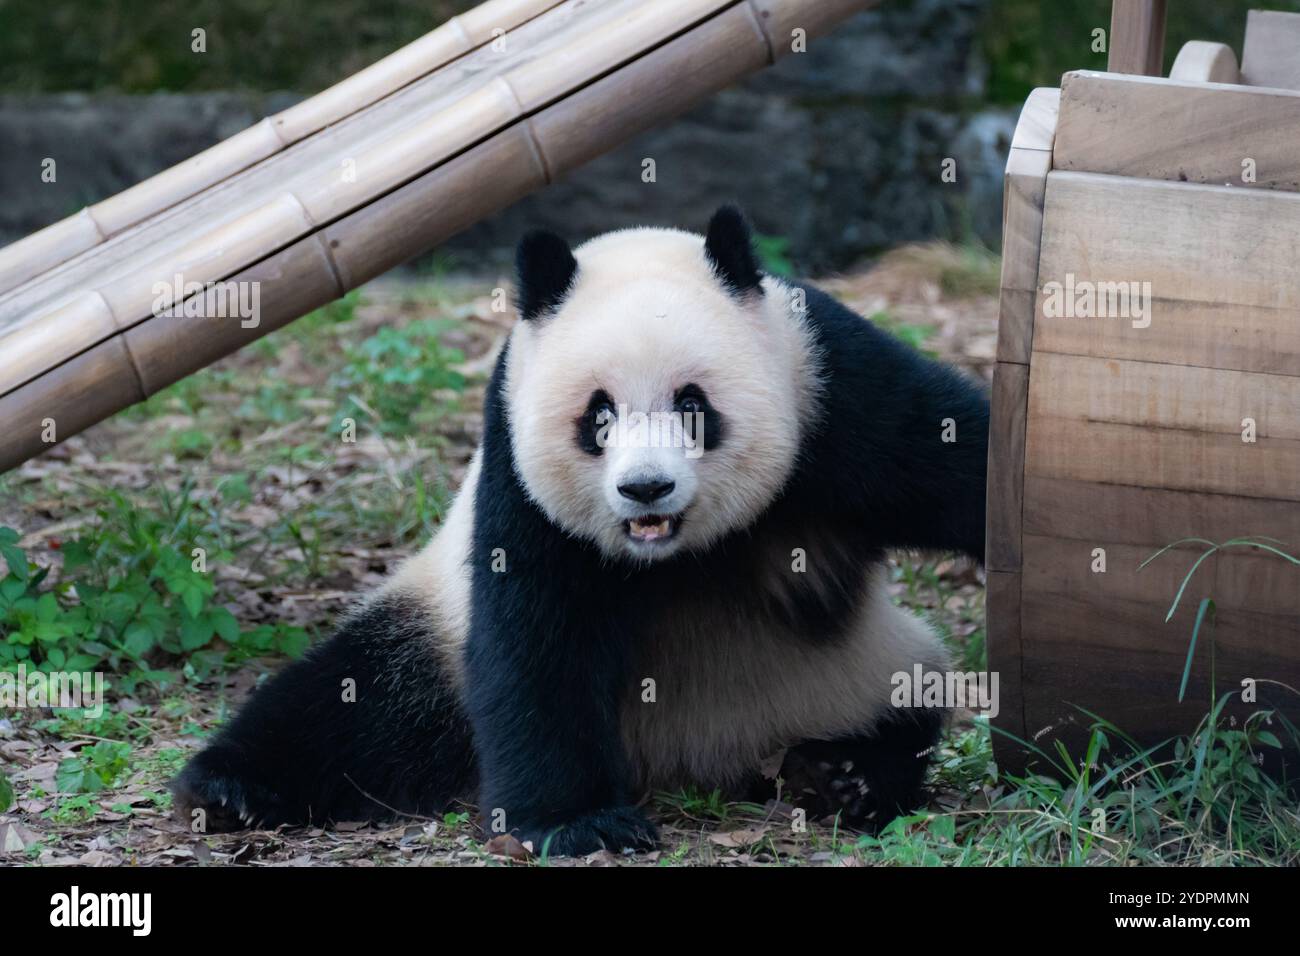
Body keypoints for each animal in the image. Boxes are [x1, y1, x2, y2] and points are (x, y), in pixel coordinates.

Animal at [172, 206, 988, 856]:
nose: (645, 488)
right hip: (432, 628)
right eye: (598, 416)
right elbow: (538, 636)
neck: (675, 555)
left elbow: (959, 456)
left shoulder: (831, 387)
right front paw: (580, 824)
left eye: (691, 404)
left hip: (858, 667)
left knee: (910, 712)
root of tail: (697, 760)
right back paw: (229, 790)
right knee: (355, 700)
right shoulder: (517, 466)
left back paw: (844, 774)